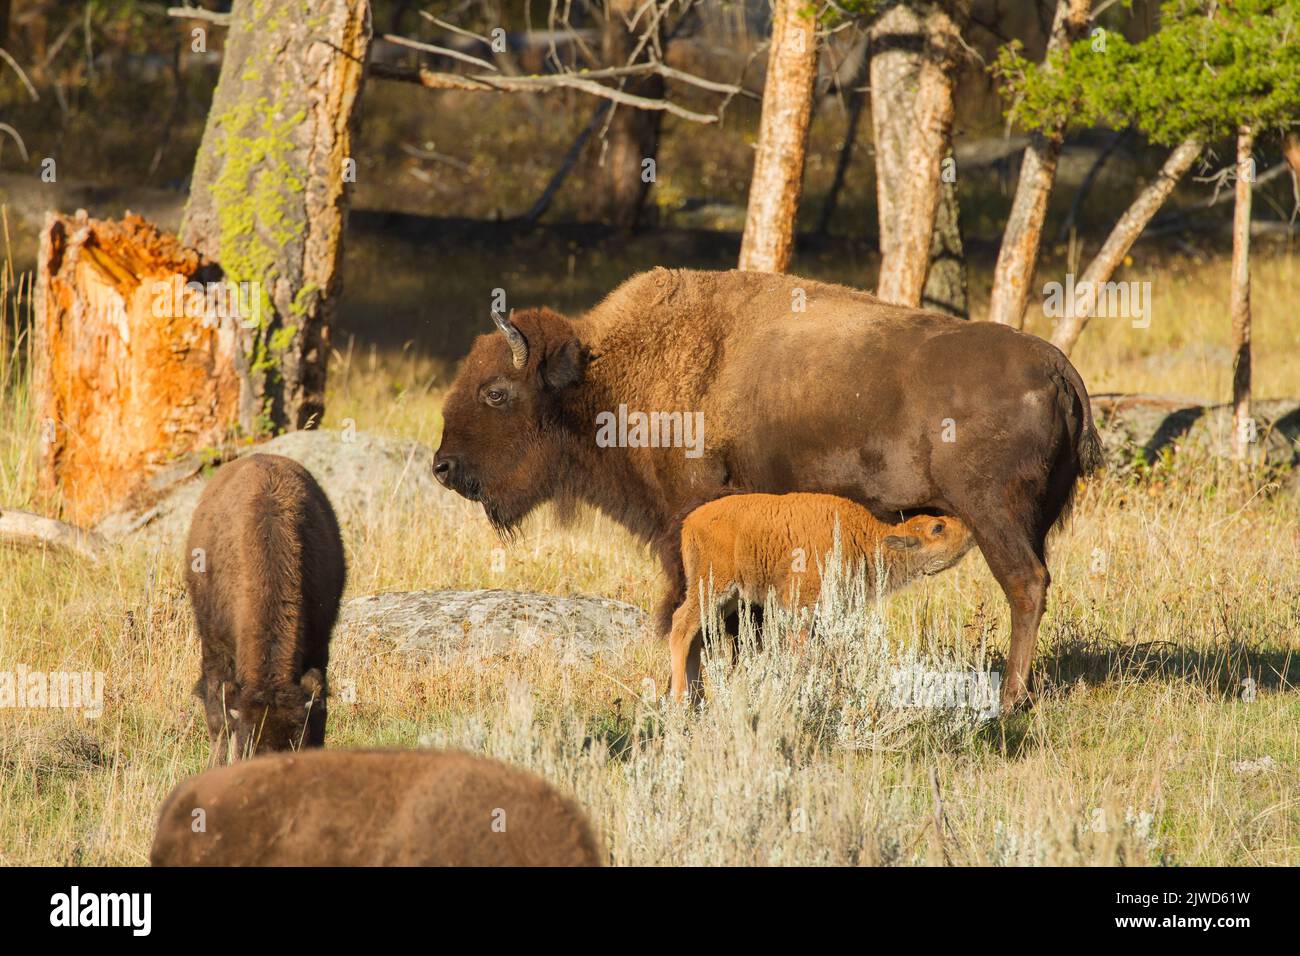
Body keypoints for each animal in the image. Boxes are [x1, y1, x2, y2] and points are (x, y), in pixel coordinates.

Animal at [669, 493, 974, 701]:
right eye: (938, 528)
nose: (969, 530)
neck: (864, 539)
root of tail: (689, 523)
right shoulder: (802, 608)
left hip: (727, 599)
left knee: (695, 636)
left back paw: (696, 699)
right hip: (712, 587)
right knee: (681, 626)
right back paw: (681, 699)